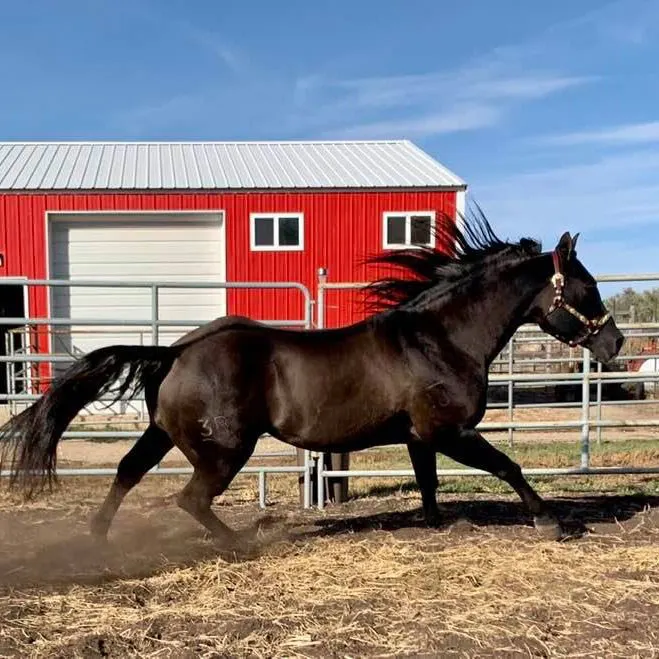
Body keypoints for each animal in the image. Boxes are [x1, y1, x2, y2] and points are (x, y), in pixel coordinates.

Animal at [0, 208, 623, 544]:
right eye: (588, 287)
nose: (615, 343)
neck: (439, 339)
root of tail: (173, 352)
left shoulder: (420, 436)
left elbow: (427, 483)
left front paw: (436, 524)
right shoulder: (450, 431)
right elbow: (507, 465)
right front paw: (551, 522)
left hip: (165, 433)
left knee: (127, 472)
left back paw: (97, 540)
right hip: (225, 449)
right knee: (190, 499)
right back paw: (238, 545)